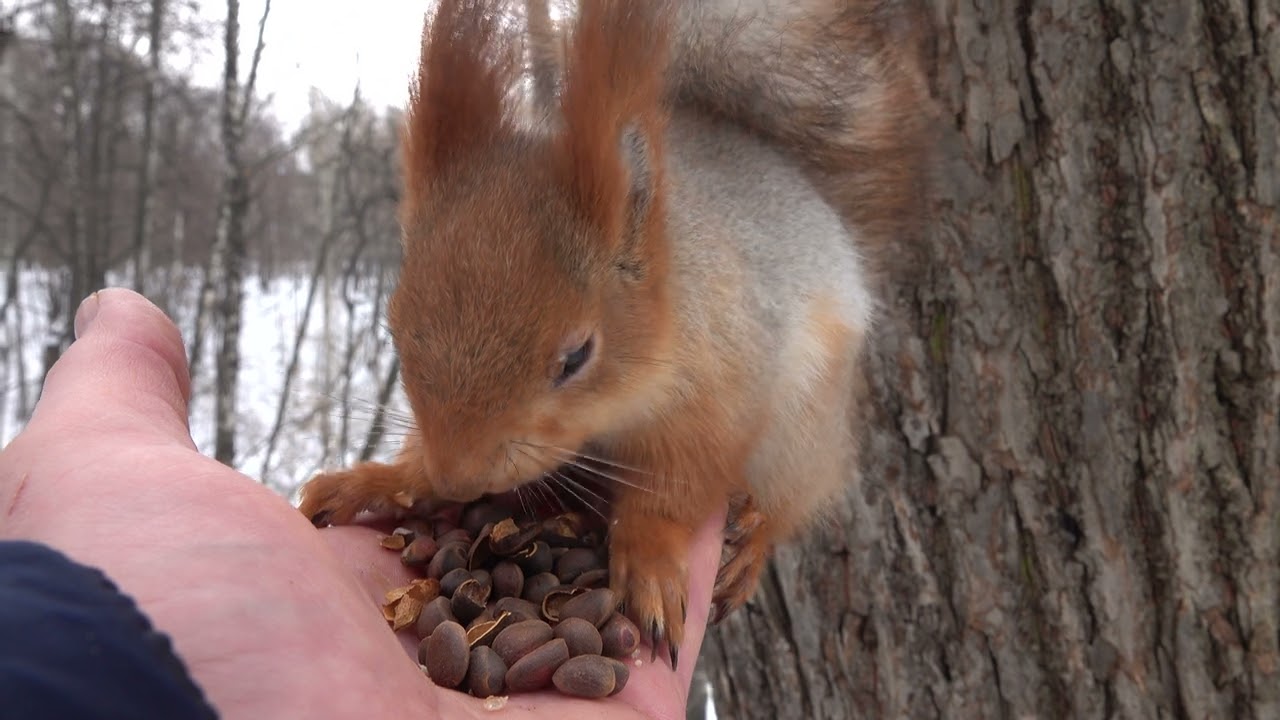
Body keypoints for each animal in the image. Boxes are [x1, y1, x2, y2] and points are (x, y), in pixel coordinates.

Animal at [299, 0, 930, 668]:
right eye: (395, 330)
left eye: (577, 356)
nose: (458, 479)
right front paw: (380, 481)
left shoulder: (720, 395)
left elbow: (676, 491)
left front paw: (648, 562)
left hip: (804, 430)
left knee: (793, 499)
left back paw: (754, 541)